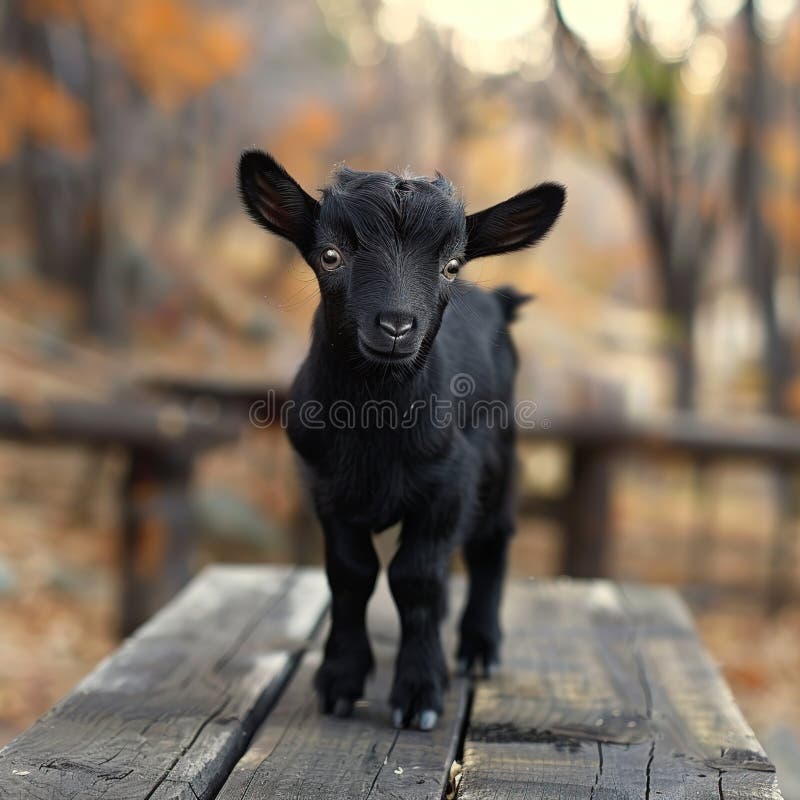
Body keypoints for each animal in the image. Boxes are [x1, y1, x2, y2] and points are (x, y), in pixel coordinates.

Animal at [238, 151, 565, 731]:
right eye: (330, 255)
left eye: (451, 265)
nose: (395, 325)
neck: (374, 422)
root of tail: (497, 301)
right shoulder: (325, 487)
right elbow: (351, 575)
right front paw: (340, 681)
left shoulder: (449, 482)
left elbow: (416, 578)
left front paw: (419, 693)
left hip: (500, 450)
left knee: (491, 540)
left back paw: (478, 648)